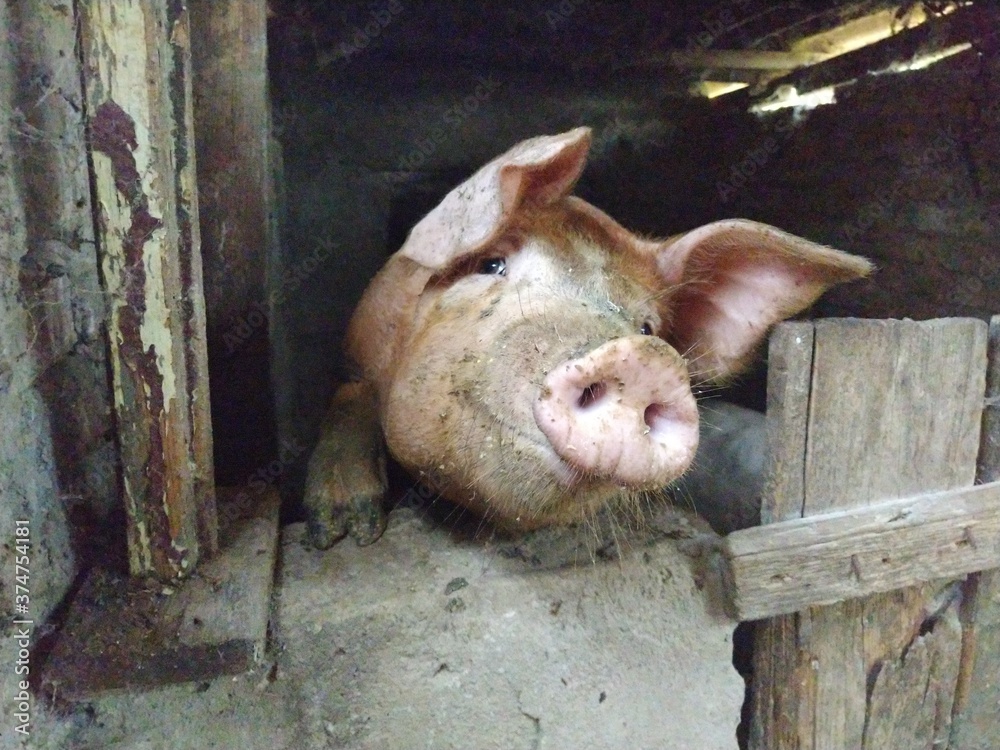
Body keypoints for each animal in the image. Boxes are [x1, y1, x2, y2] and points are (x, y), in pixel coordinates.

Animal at [303, 127, 872, 548]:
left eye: (648, 327)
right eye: (492, 264)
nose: (646, 361)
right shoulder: (359, 349)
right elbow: (350, 394)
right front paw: (344, 532)